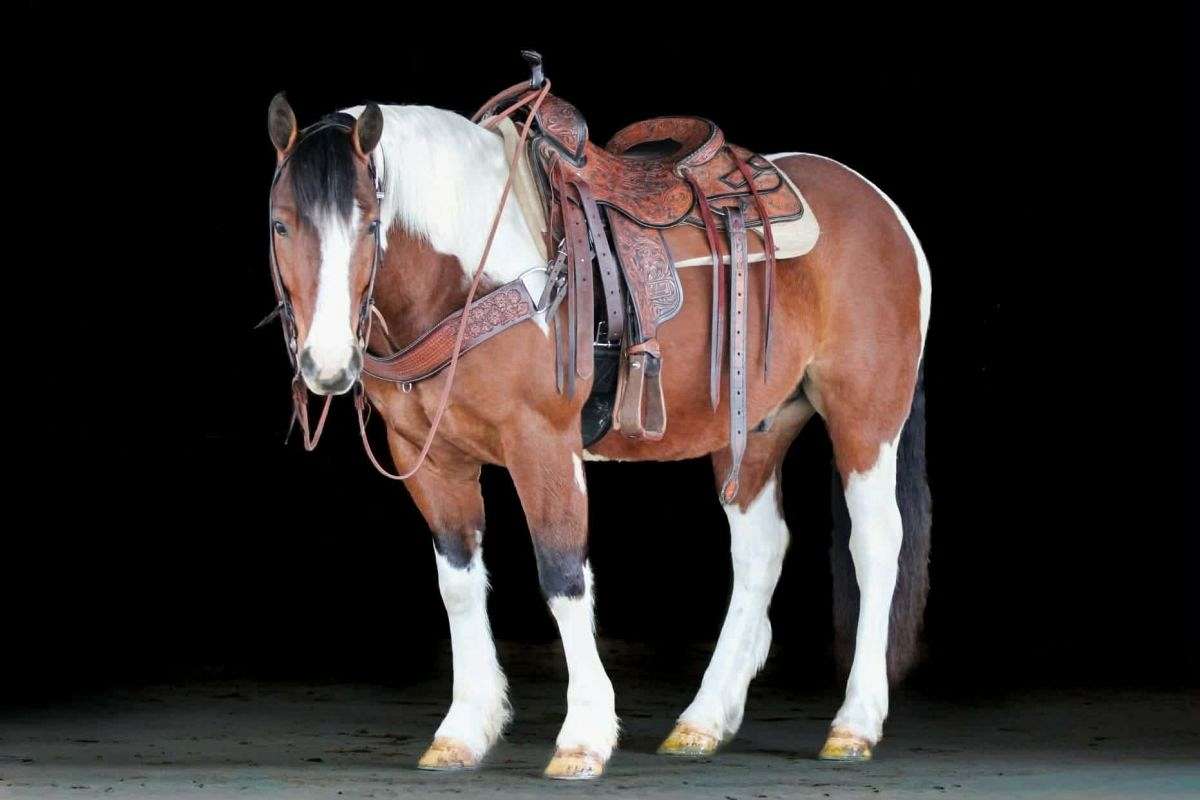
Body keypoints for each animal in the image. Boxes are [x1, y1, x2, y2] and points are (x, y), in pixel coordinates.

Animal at [262, 78, 930, 780]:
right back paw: (702, 721)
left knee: (875, 544)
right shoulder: (430, 457)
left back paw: (854, 723)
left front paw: (583, 735)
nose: (327, 364)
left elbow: (562, 574)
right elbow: (459, 586)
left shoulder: (542, 443)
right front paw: (464, 729)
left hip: (866, 419)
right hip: (755, 430)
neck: (468, 273)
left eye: (370, 223)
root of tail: (879, 206)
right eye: (281, 223)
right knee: (760, 551)